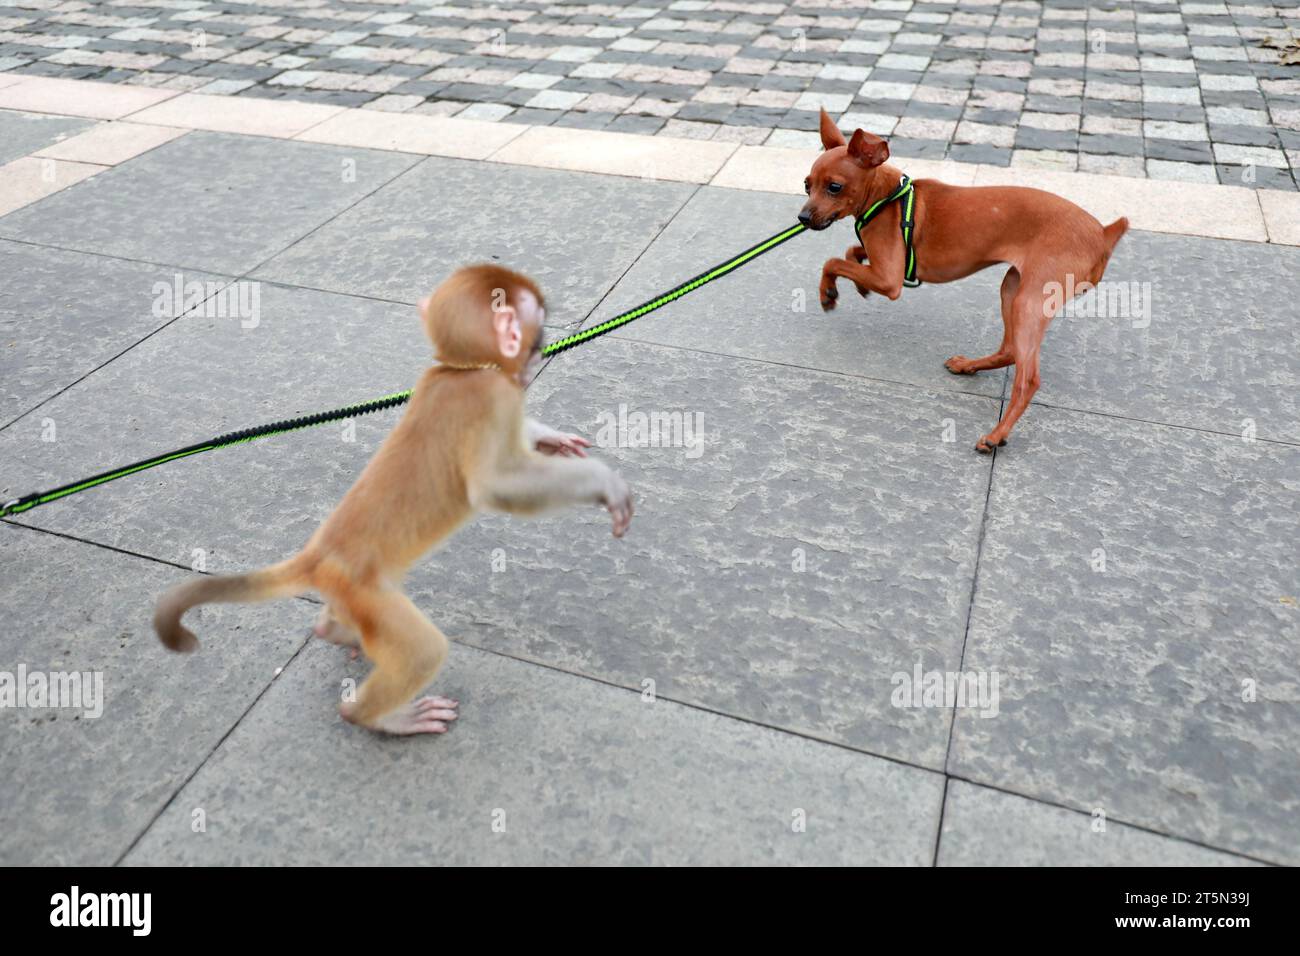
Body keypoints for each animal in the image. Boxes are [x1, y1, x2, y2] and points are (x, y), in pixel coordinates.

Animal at [153, 264, 634, 735]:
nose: (538, 350)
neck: (461, 369)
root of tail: (319, 555)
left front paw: (549, 437)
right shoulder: (491, 397)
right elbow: (494, 485)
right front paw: (604, 482)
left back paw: (332, 631)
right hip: (366, 594)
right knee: (421, 651)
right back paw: (377, 717)